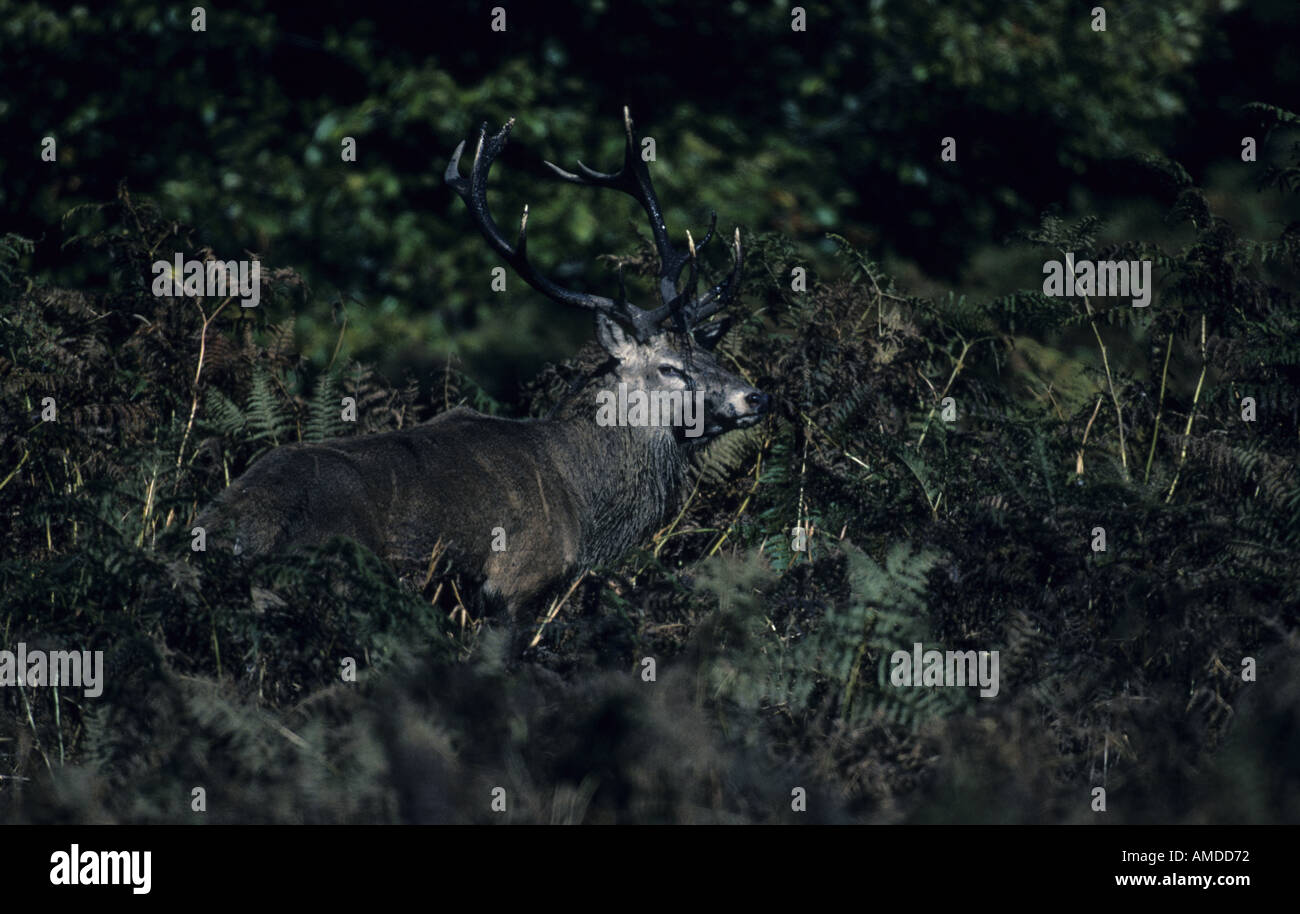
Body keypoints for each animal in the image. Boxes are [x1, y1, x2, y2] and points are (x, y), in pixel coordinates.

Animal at [196, 109, 770, 619]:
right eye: (670, 366)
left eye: (711, 353)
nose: (756, 396)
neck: (586, 511)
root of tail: (229, 527)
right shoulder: (520, 582)